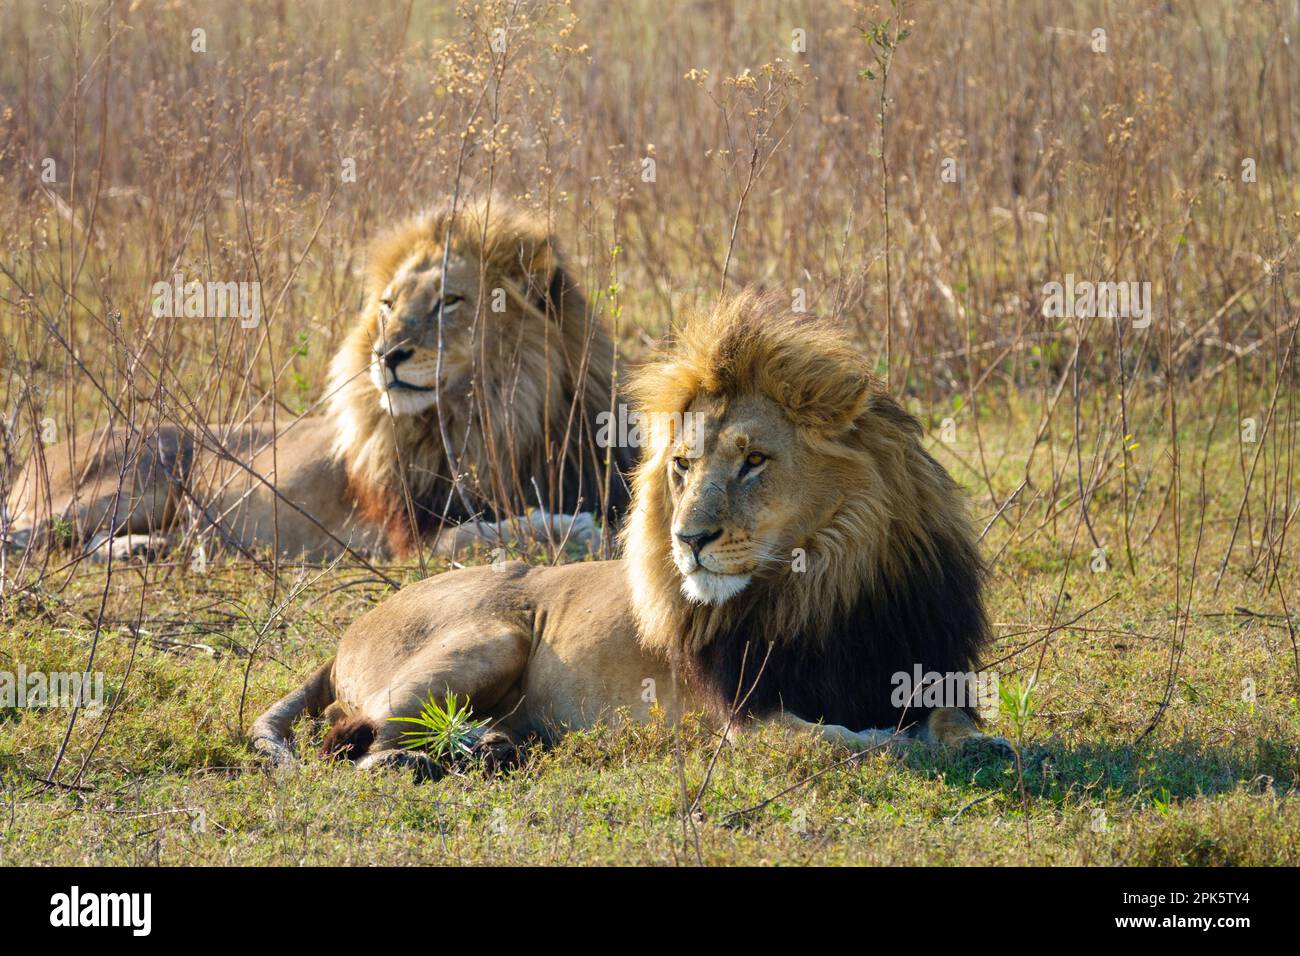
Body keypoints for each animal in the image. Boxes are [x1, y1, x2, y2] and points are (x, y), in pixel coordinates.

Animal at [3, 197, 629, 563]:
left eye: (449, 301)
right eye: (388, 304)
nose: (385, 355)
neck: (499, 416)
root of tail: (38, 459)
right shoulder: (407, 537)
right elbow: (492, 532)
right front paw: (574, 527)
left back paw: (146, 549)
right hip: (122, 487)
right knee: (25, 539)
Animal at [250, 291, 1003, 775]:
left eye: (754, 461)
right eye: (683, 465)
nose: (689, 540)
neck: (824, 587)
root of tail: (346, 633)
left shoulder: (931, 671)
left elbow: (953, 724)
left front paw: (979, 745)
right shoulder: (746, 721)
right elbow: (841, 741)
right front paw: (900, 744)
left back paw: (495, 746)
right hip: (489, 637)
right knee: (365, 749)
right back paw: (453, 756)